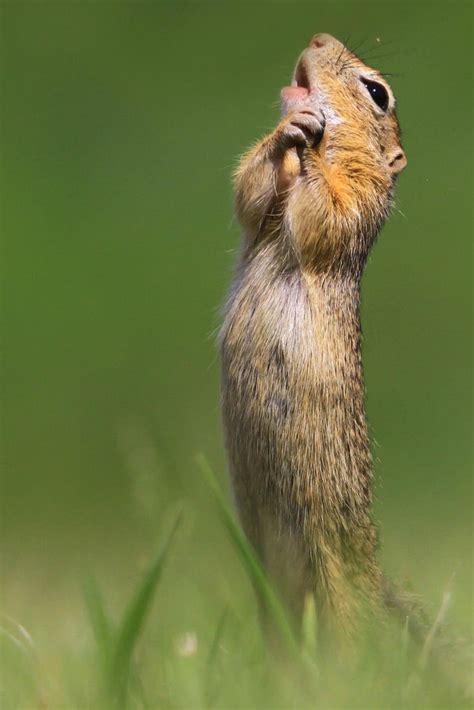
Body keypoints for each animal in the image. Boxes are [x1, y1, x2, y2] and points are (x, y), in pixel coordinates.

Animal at [219, 32, 470, 688]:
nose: (317, 38)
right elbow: (251, 193)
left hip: (338, 589)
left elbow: (325, 214)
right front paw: (288, 135)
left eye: (378, 92)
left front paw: (307, 139)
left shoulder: (360, 198)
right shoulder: (260, 211)